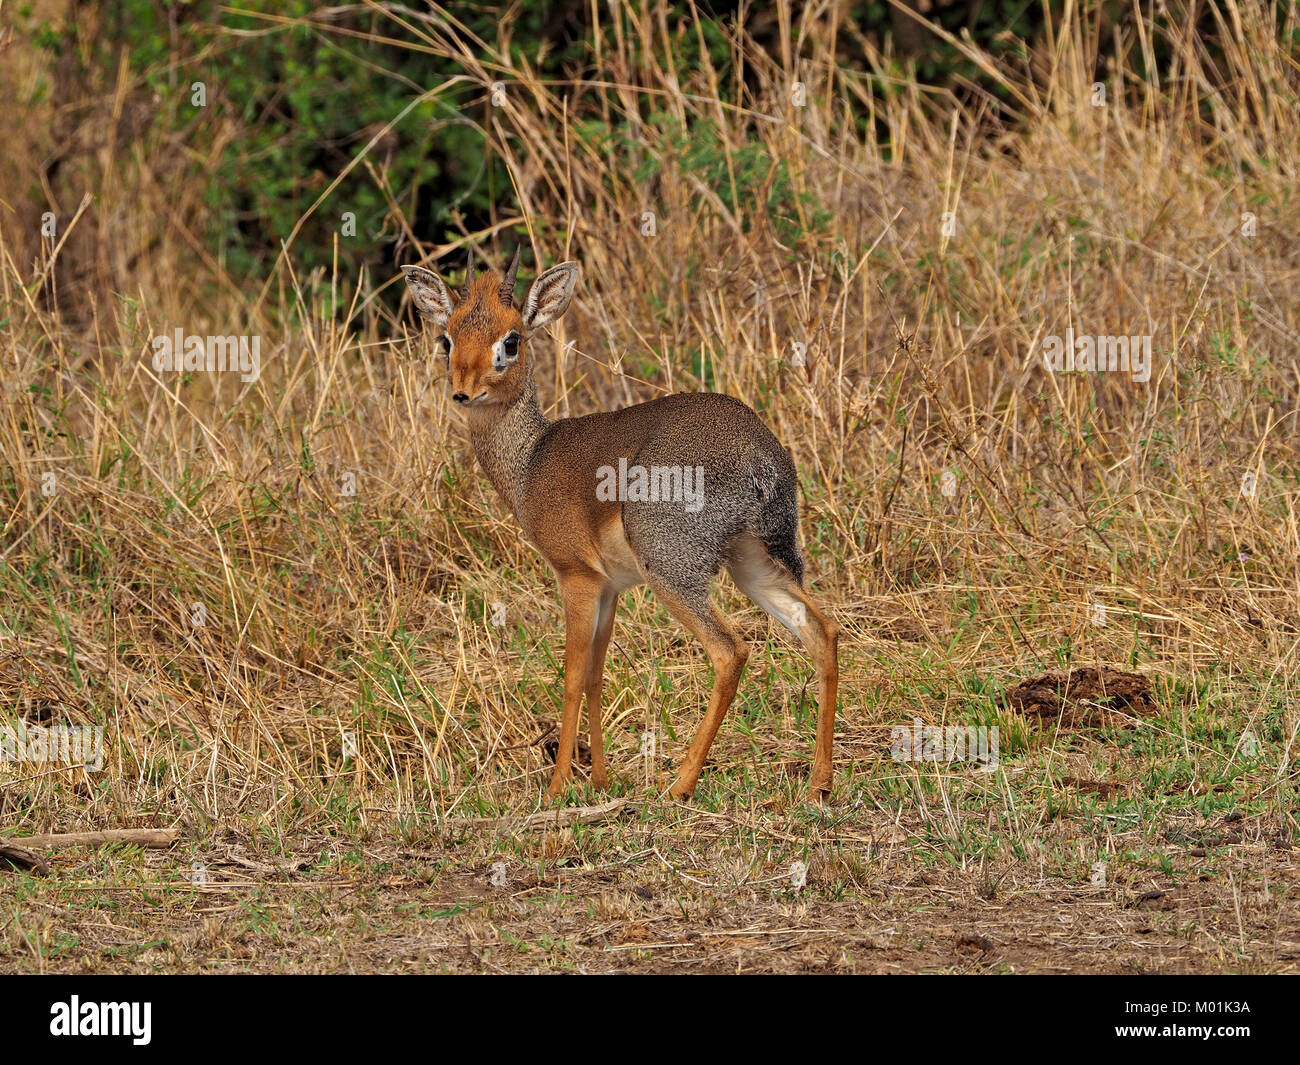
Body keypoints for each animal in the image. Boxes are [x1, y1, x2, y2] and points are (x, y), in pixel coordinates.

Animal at [401, 249, 839, 803]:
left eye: (511, 340)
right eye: (448, 338)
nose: (463, 392)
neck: (531, 461)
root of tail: (759, 454)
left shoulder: (576, 577)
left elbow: (570, 676)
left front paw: (559, 786)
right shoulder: (612, 587)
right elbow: (596, 675)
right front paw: (601, 780)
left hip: (673, 570)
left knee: (731, 651)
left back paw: (679, 785)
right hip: (754, 562)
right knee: (821, 630)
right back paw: (819, 782)